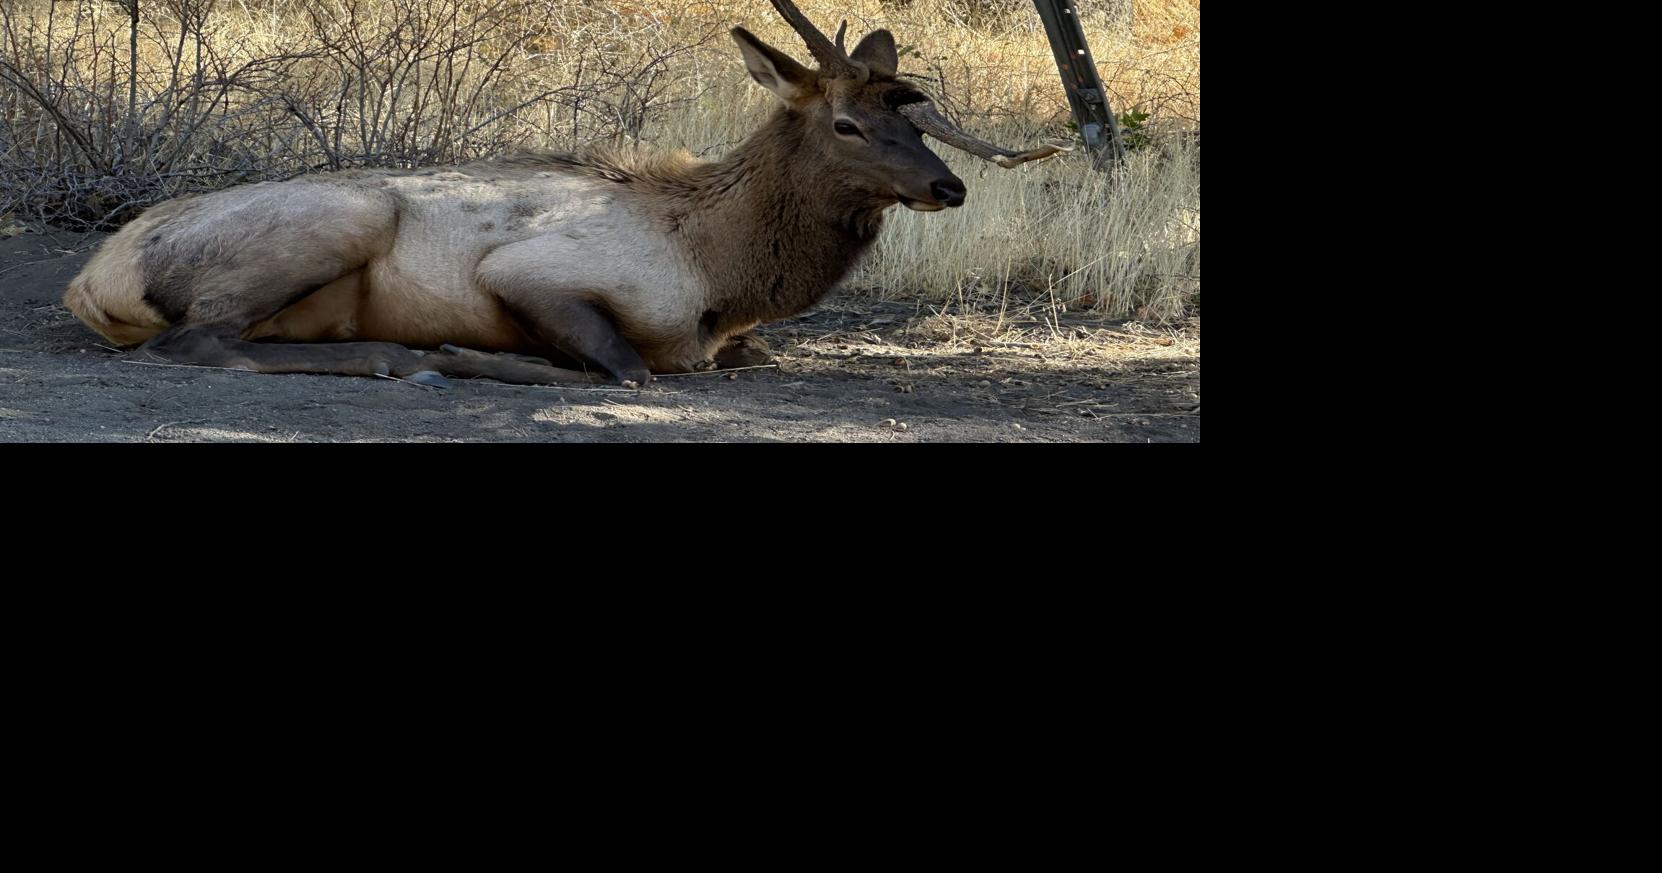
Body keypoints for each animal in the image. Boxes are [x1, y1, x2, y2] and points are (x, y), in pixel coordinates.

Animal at [62, 0, 1064, 388]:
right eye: (848, 124)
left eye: (915, 121)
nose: (949, 184)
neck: (722, 272)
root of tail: (91, 279)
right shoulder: (533, 271)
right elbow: (628, 366)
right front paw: (481, 355)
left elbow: (747, 358)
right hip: (343, 218)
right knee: (200, 342)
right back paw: (400, 357)